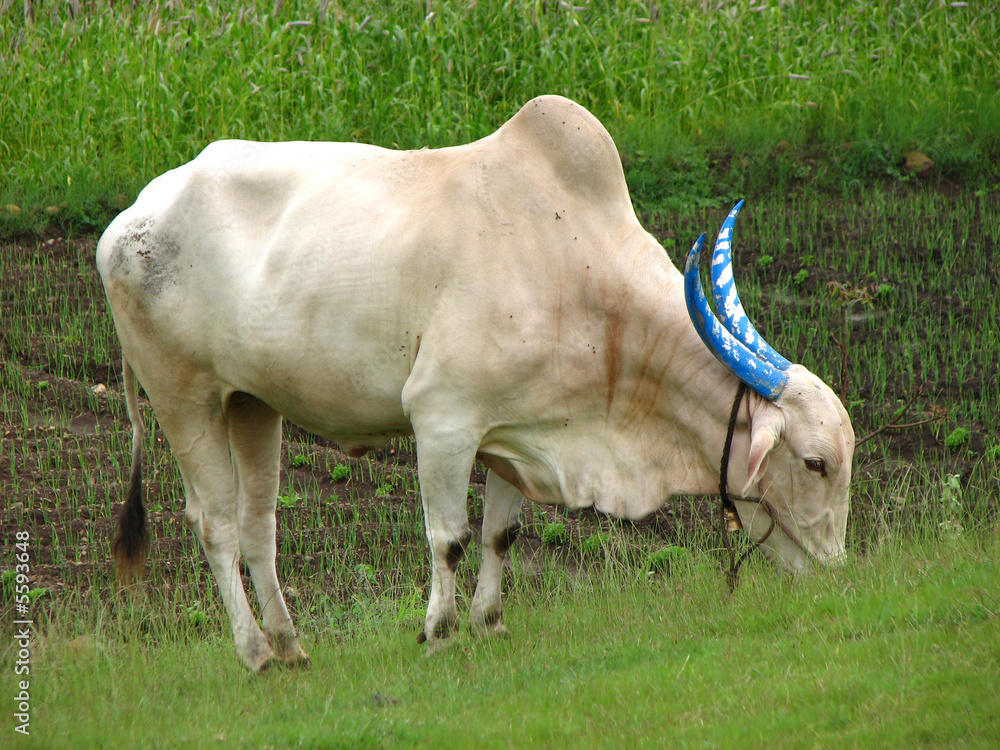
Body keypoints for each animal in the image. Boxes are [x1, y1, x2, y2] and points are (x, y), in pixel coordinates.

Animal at [97, 95, 854, 672]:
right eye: (815, 463)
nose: (835, 572)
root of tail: (131, 216)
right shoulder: (443, 421)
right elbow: (449, 538)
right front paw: (438, 631)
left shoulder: (515, 431)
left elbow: (501, 535)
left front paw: (491, 623)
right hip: (184, 398)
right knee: (217, 525)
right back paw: (254, 653)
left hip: (253, 405)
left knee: (259, 526)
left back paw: (290, 646)